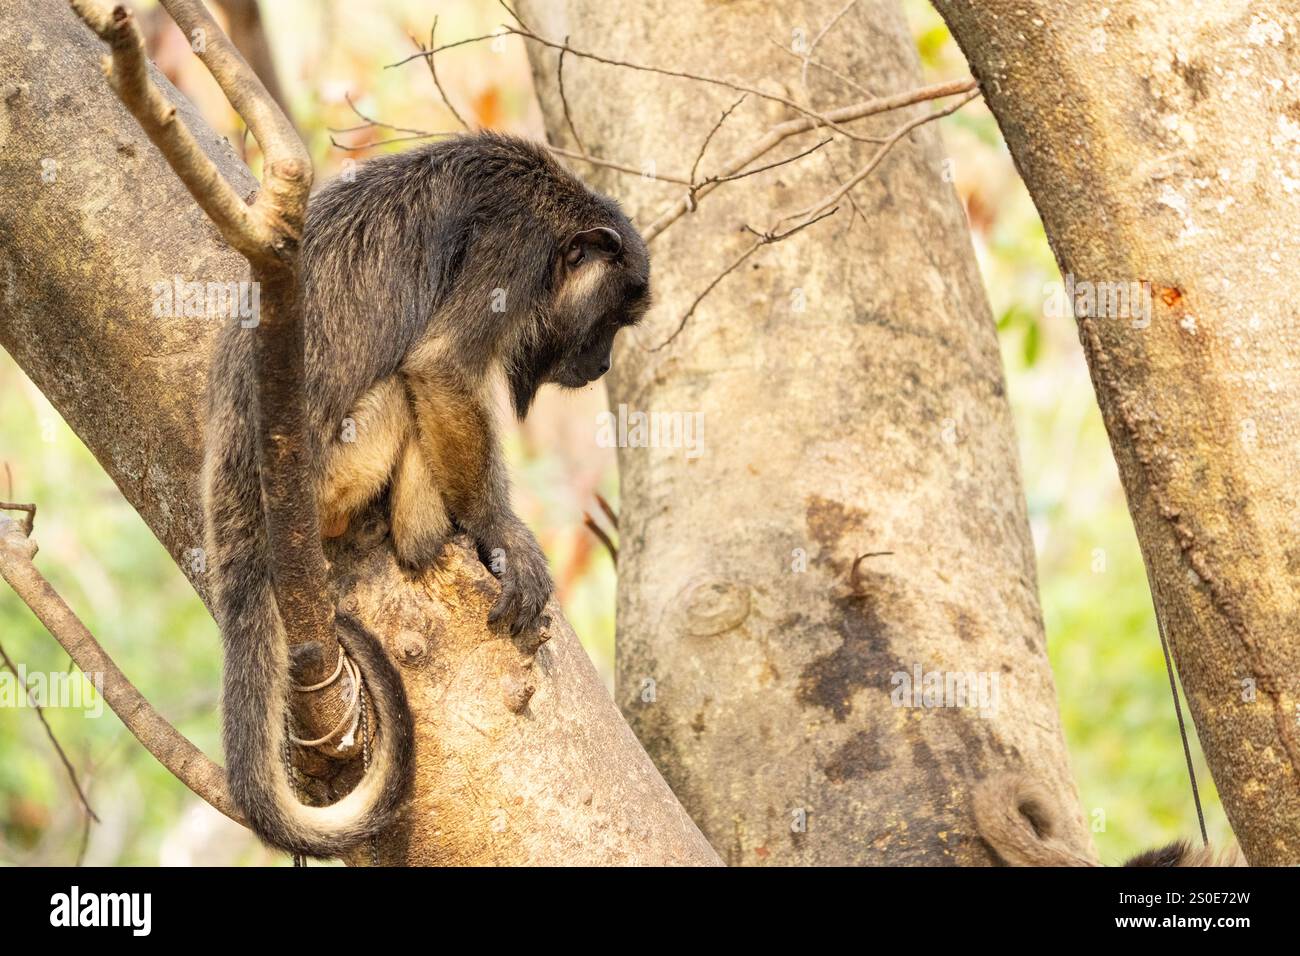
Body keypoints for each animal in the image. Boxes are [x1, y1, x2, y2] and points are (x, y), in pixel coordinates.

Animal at [202, 132, 652, 857]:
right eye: (608, 319)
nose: (605, 362)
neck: (556, 215)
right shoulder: (514, 244)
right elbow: (440, 366)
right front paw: (500, 531)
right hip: (333, 472)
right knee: (400, 389)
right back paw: (424, 537)